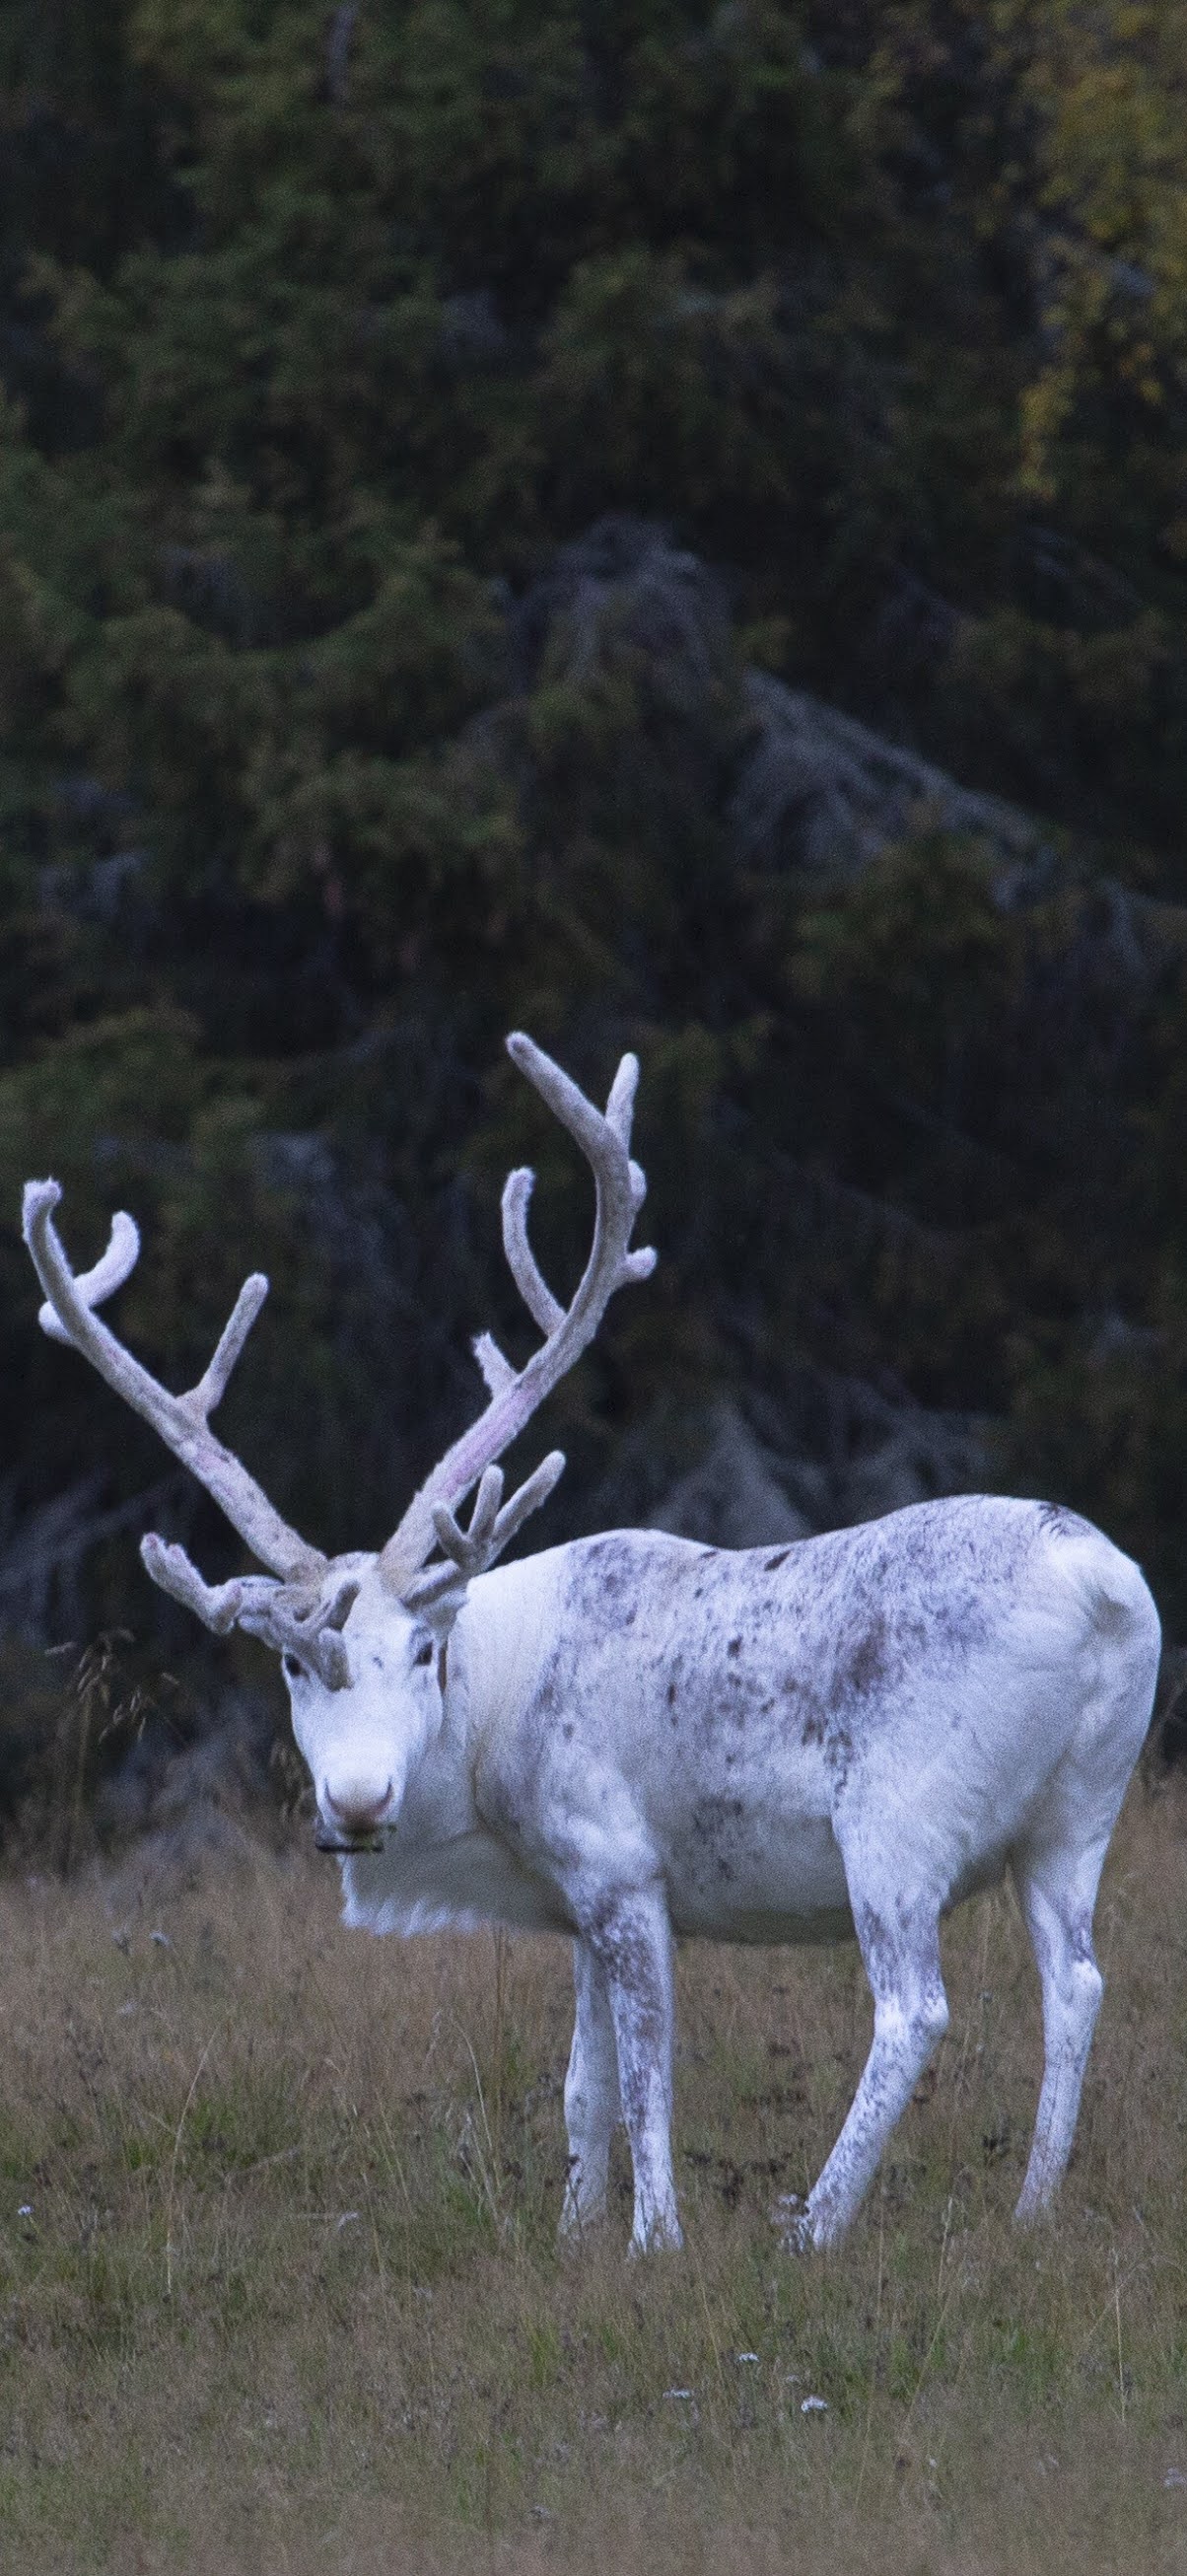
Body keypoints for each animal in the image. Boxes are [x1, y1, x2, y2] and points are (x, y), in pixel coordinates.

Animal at [22, 1034, 1161, 2255]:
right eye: (290, 1660)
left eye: (422, 1649)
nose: (361, 1796)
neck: (487, 1762)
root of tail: (1104, 1585)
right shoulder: (574, 1894)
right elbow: (582, 2082)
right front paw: (573, 2233)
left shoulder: (617, 1862)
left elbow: (649, 2075)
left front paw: (652, 2241)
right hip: (1079, 1810)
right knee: (1077, 1980)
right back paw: (1033, 2208)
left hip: (898, 1815)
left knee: (913, 2006)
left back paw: (811, 2227)